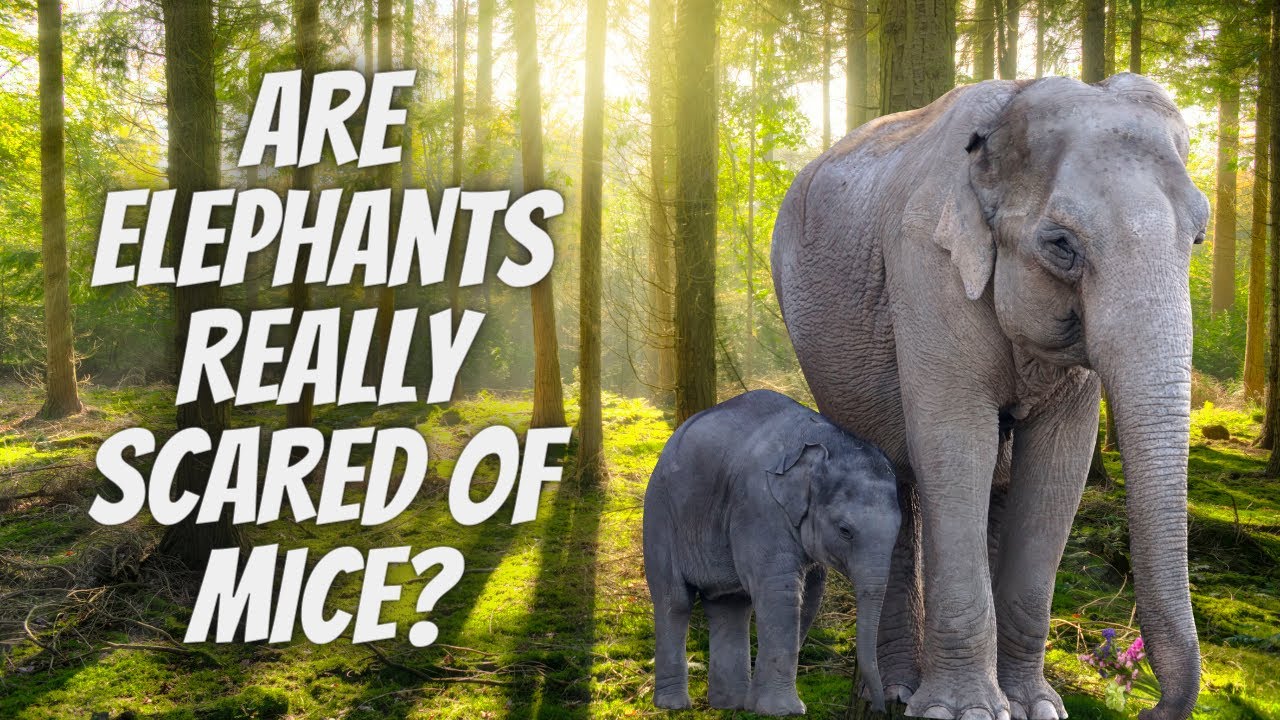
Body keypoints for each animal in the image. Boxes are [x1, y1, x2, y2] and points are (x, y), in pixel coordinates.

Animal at [643, 389, 901, 716]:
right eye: (845, 530)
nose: (881, 707)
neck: (823, 440)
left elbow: (810, 595)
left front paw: (760, 704)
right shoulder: (759, 505)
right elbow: (781, 590)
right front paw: (783, 711)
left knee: (730, 606)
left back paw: (732, 704)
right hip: (659, 515)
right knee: (674, 601)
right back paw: (674, 705)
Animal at [770, 74, 1207, 720]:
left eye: (1198, 237)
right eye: (1061, 245)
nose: (1148, 705)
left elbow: (1060, 465)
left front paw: (1036, 707)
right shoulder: (924, 267)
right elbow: (957, 444)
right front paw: (966, 712)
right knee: (891, 481)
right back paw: (895, 692)